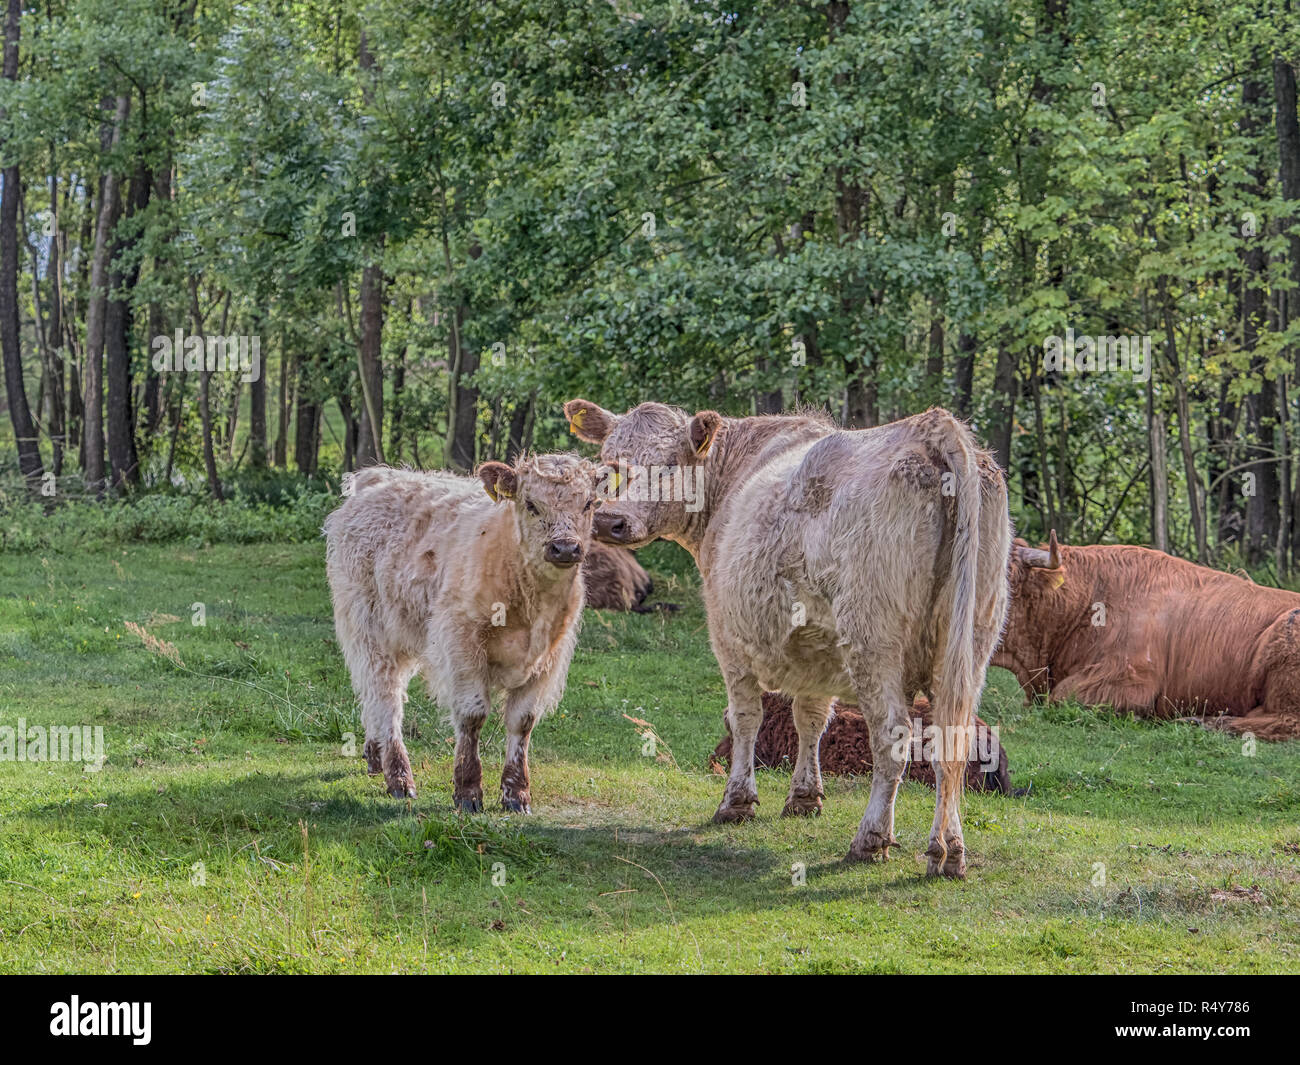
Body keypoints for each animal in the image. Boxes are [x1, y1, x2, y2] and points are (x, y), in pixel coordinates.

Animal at [323, 455, 599, 809]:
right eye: (530, 504)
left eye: (588, 503)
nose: (564, 548)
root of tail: (379, 476)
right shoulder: (462, 641)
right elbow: (472, 714)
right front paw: (468, 790)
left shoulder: (549, 655)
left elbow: (523, 721)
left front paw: (516, 793)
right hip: (369, 627)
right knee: (384, 695)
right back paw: (398, 776)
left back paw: (375, 756)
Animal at [564, 399, 1011, 877]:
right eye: (609, 465)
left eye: (669, 466)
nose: (611, 521)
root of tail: (931, 426)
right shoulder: (816, 647)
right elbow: (810, 718)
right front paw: (804, 796)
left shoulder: (728, 636)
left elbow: (745, 718)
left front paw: (737, 802)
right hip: (971, 644)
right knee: (953, 740)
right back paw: (948, 851)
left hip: (874, 641)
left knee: (893, 737)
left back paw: (871, 839)